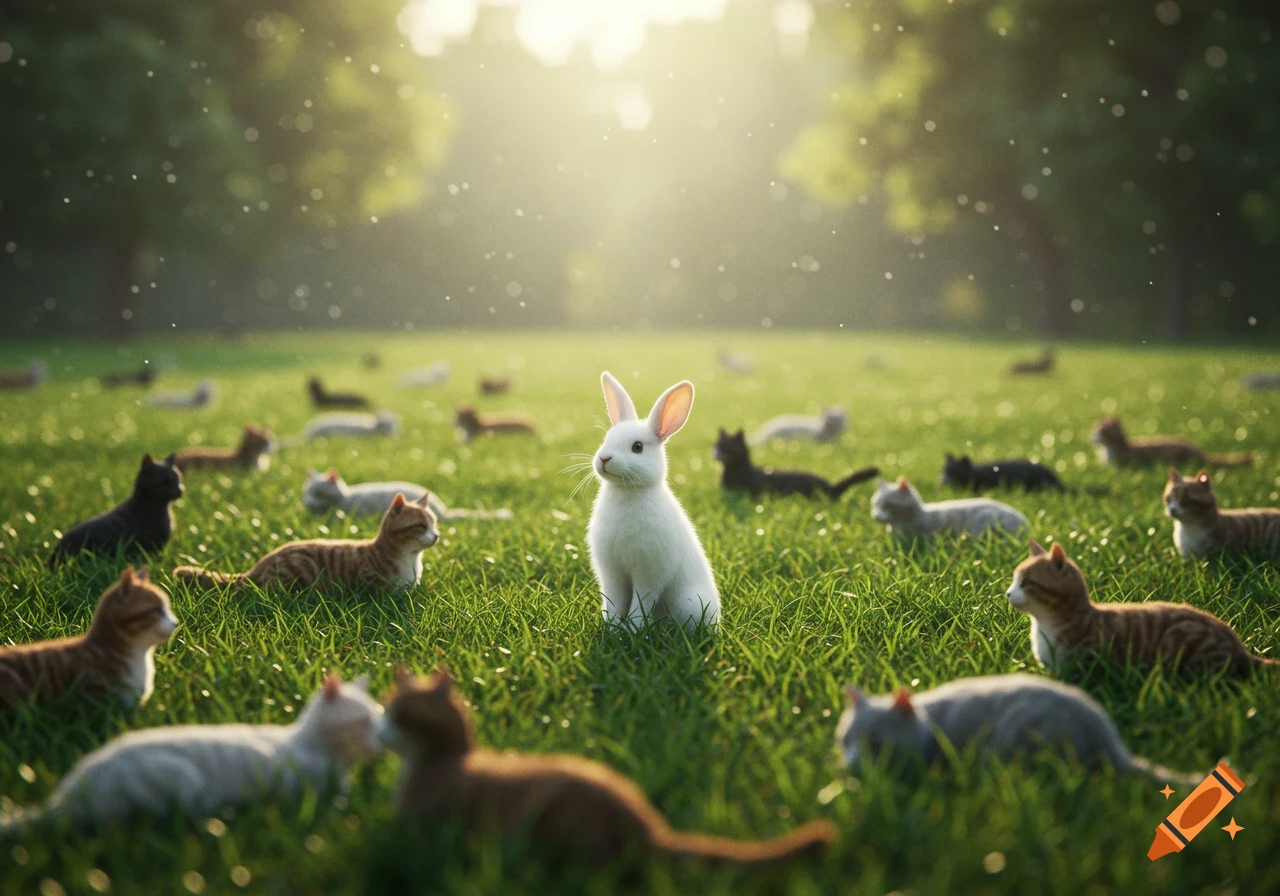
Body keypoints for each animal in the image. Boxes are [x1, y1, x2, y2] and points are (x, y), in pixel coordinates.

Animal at [586, 372, 720, 632]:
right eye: (606, 439)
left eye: (637, 447)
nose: (604, 458)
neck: (627, 491)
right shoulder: (611, 572)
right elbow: (614, 601)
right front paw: (612, 627)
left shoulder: (649, 572)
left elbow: (641, 602)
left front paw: (632, 629)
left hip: (689, 603)